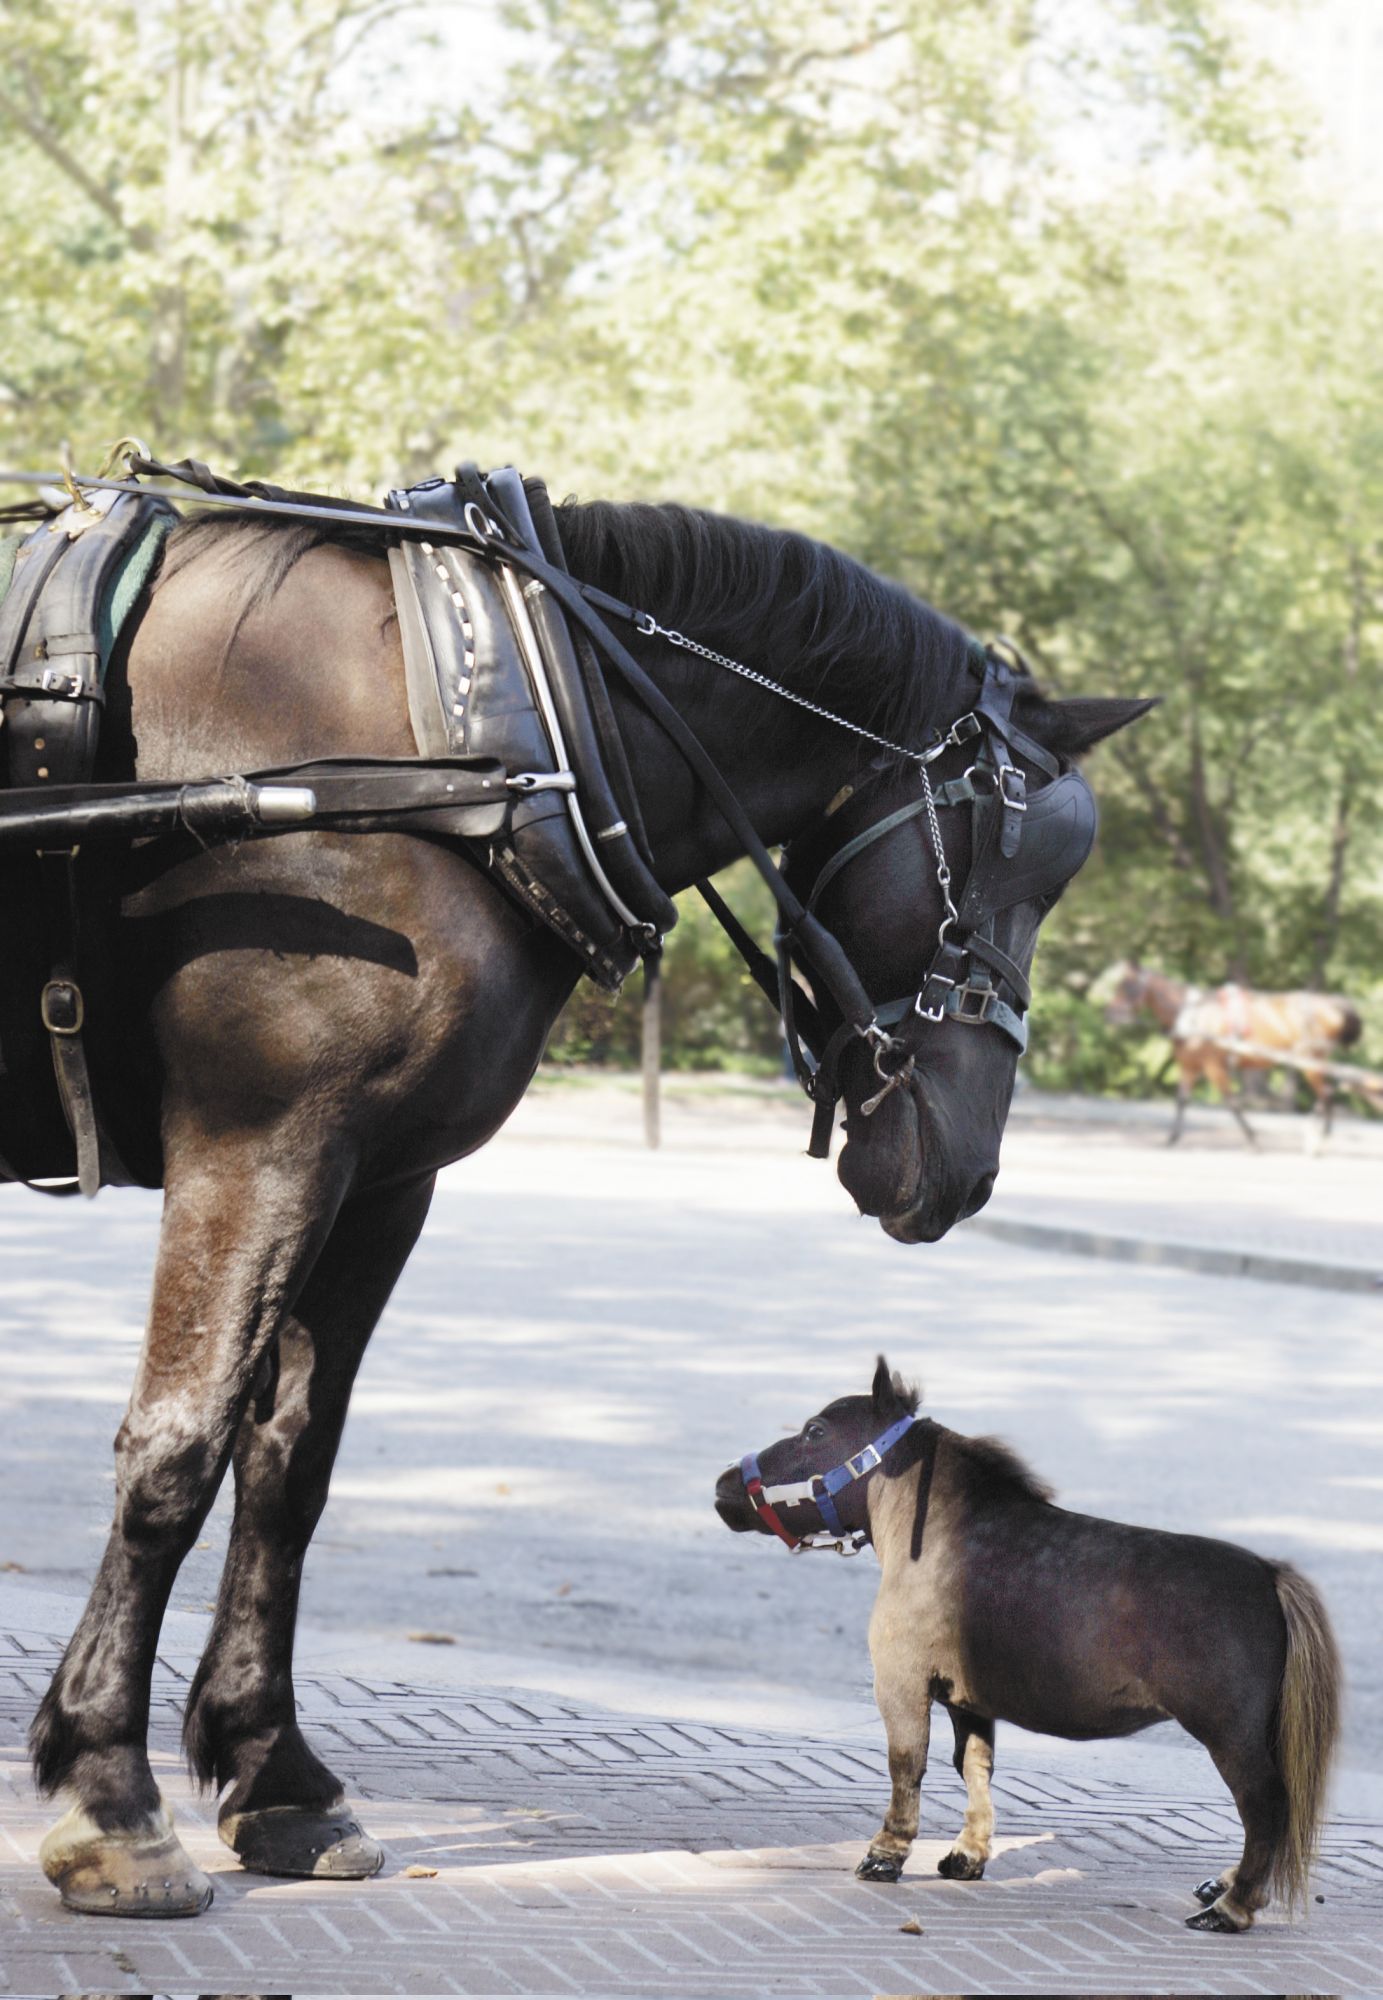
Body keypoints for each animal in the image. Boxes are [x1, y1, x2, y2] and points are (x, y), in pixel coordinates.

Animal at [9, 485, 1149, 1916]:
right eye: (1015, 860)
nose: (969, 1165)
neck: (470, 739)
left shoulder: (375, 1174)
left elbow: (288, 1465)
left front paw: (274, 1772)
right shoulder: (259, 1141)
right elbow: (179, 1450)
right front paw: (112, 1786)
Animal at [715, 1356, 1341, 1934]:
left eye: (816, 1431)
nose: (724, 1486)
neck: (944, 1538)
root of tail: (1268, 1576)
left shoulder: (902, 1683)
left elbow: (906, 1764)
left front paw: (885, 1854)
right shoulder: (967, 1699)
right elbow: (974, 1766)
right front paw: (967, 1855)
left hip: (1229, 1734)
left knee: (1266, 1807)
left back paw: (1231, 1907)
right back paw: (1224, 1885)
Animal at [1101, 961, 1364, 1144]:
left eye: (1128, 986)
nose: (1110, 1013)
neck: (1192, 1016)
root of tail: (1330, 1003)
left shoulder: (1213, 1067)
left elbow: (1232, 1103)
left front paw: (1252, 1138)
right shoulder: (1189, 1067)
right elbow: (1182, 1101)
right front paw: (1172, 1138)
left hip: (1310, 1060)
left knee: (1326, 1094)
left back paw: (1322, 1137)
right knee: (1325, 1095)